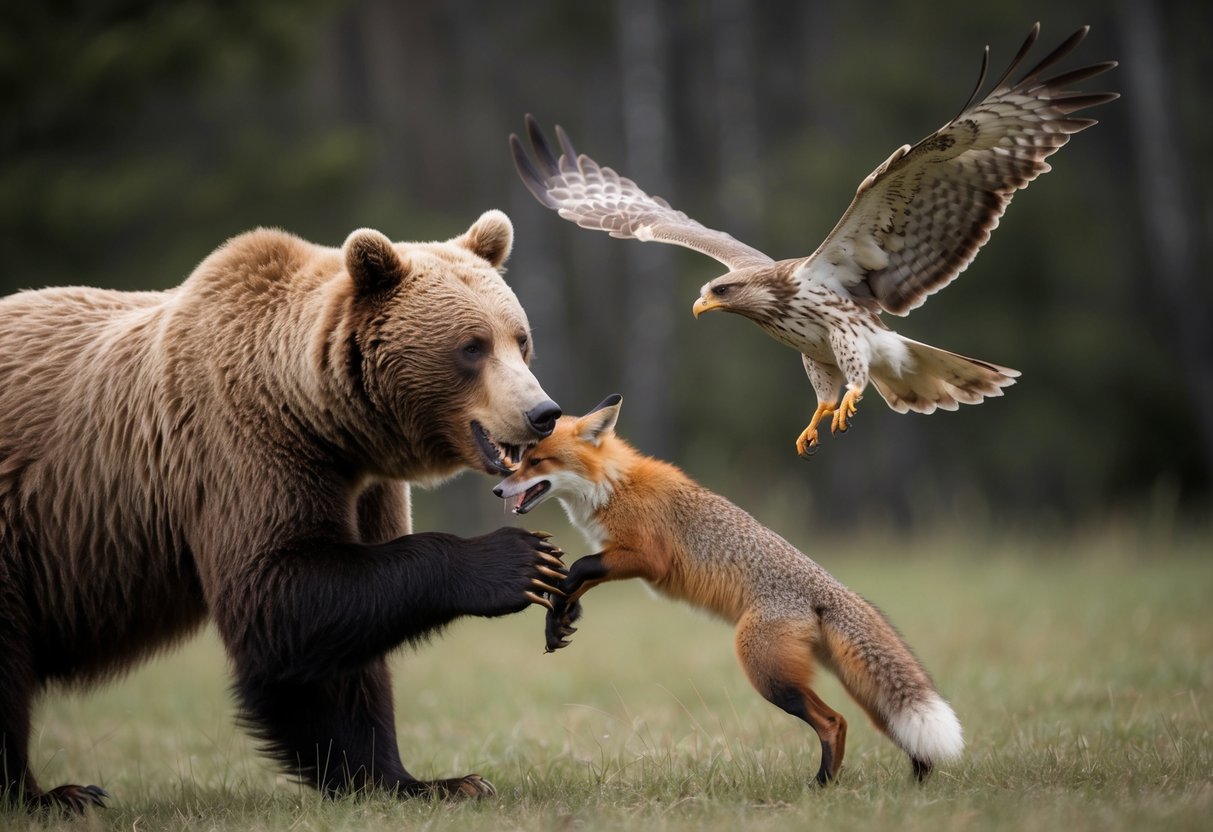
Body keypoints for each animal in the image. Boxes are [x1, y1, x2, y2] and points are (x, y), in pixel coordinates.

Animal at [493, 394, 963, 784]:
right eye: (521, 459)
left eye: (538, 461)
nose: (498, 488)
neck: (612, 486)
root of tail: (832, 591)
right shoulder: (618, 556)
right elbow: (578, 581)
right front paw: (559, 621)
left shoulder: (646, 557)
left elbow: (578, 568)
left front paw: (560, 604)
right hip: (850, 686)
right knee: (886, 726)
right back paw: (916, 778)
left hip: (767, 672)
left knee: (834, 723)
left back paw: (821, 786)